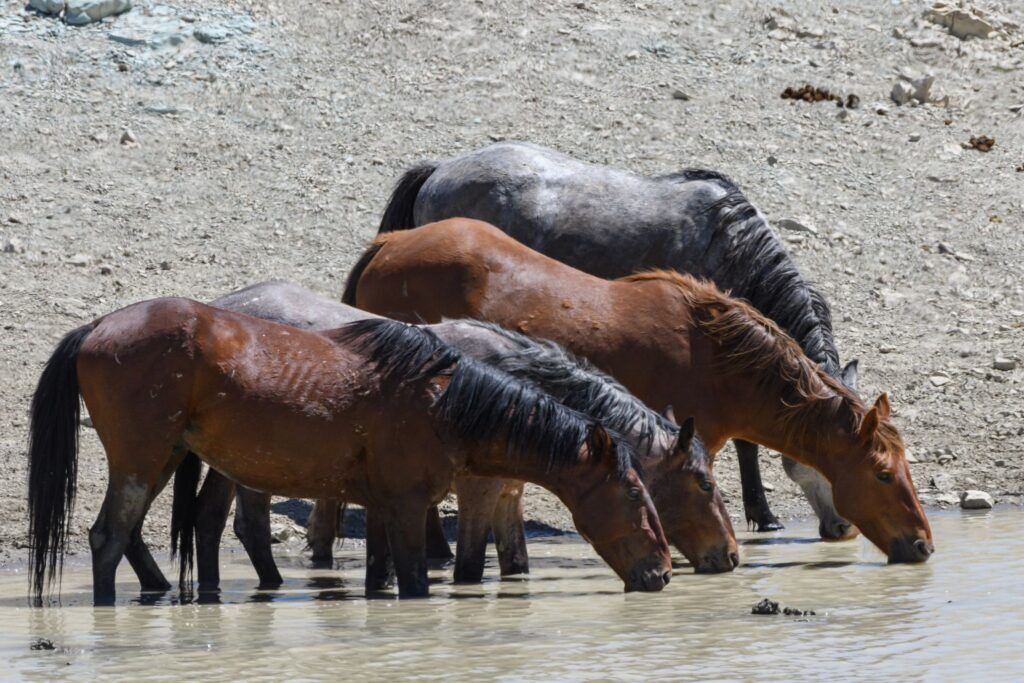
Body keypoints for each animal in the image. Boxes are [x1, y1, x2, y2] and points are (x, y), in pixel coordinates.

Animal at [26, 298, 673, 602]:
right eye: (634, 494)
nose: (664, 572)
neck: (445, 405)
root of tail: (97, 327)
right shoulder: (410, 508)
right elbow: (414, 583)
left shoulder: (385, 508)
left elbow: (379, 582)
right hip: (142, 460)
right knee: (109, 538)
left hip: (163, 460)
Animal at [168, 281, 736, 593]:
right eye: (706, 485)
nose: (731, 556)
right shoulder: (476, 491)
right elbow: (467, 567)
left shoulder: (507, 493)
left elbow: (515, 565)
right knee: (246, 525)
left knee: (212, 520)